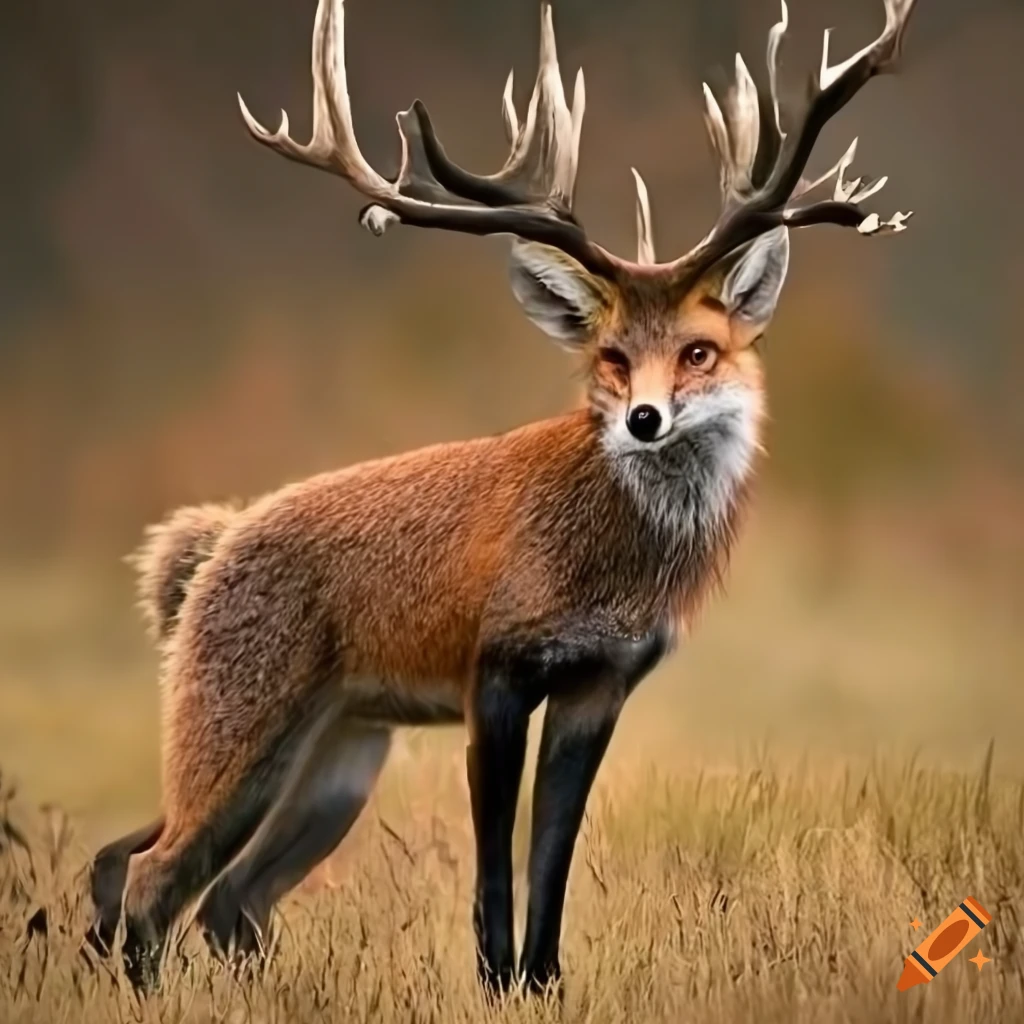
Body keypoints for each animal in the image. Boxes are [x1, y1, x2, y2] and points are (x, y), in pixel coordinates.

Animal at [85, 0, 920, 996]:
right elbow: (492, 863)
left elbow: (551, 859)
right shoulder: (497, 670)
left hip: (337, 758)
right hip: (242, 726)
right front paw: (493, 980)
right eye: (609, 354)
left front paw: (543, 981)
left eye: (700, 350)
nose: (643, 418)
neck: (606, 575)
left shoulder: (602, 685)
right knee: (150, 877)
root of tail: (204, 554)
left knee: (213, 896)